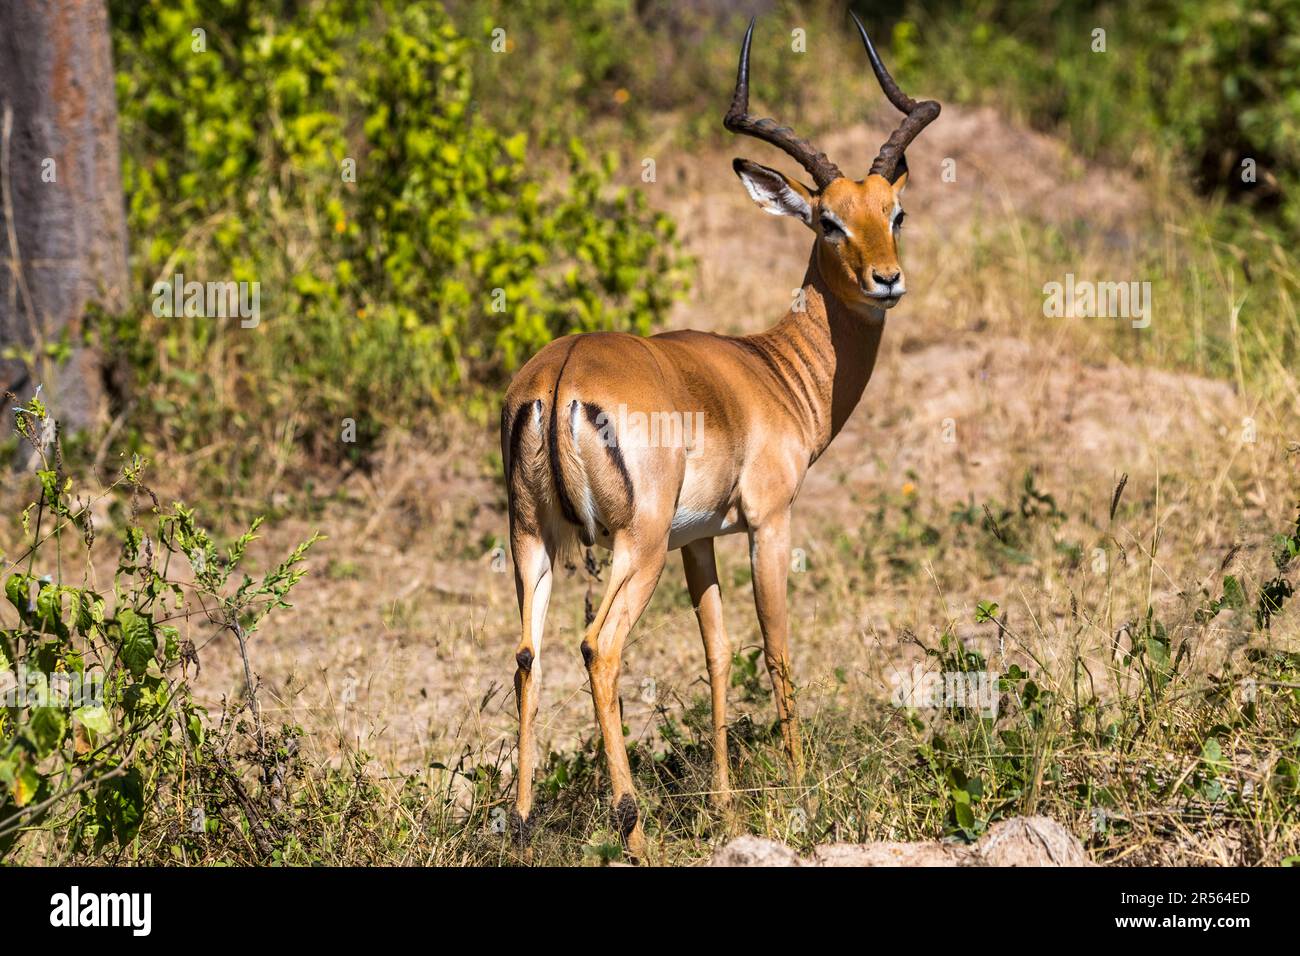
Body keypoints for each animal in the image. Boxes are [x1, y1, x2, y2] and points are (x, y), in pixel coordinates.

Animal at [500, 13, 939, 859]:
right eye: (828, 220)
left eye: (893, 213)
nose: (888, 280)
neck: (773, 371)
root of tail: (560, 378)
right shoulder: (768, 521)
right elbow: (777, 649)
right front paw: (798, 789)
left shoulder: (696, 538)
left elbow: (718, 654)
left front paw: (728, 806)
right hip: (630, 548)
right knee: (599, 648)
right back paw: (632, 829)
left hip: (533, 540)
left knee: (528, 655)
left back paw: (523, 827)